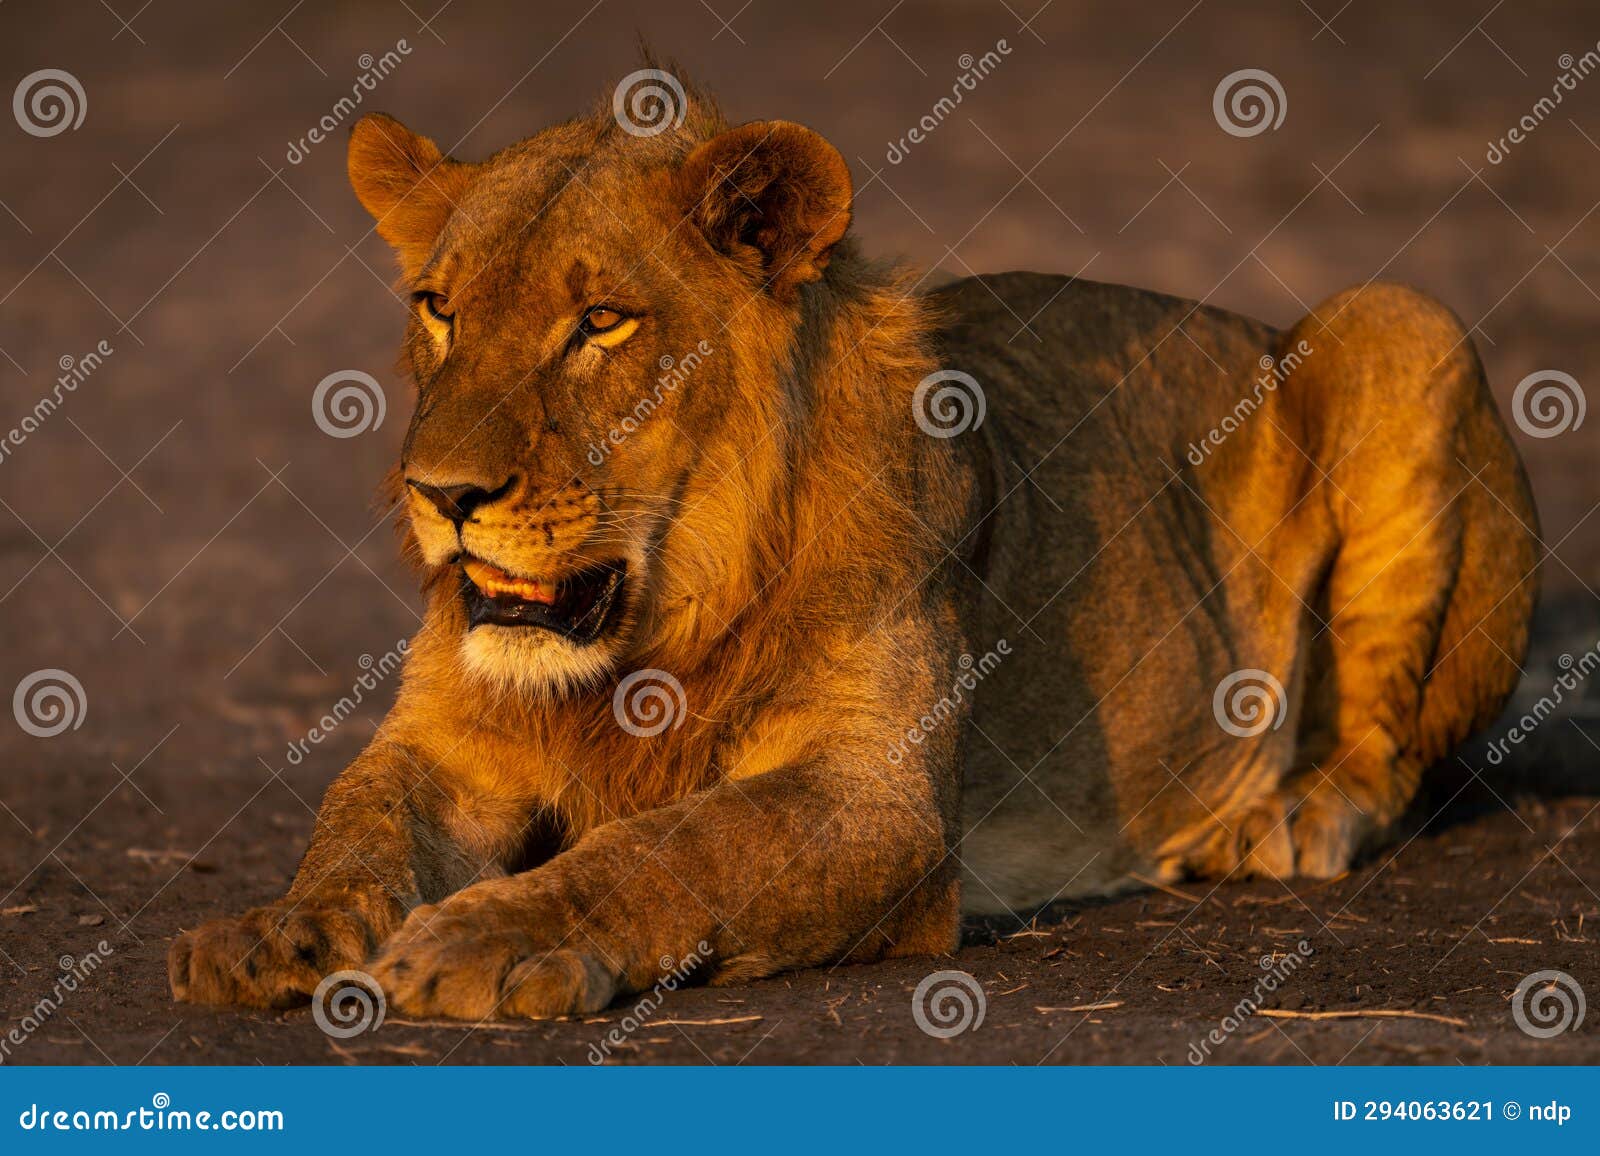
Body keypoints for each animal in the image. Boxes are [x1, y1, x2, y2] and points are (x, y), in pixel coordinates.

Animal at [169, 75, 1537, 1019]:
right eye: (439, 310)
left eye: (600, 321)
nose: (440, 492)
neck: (661, 619)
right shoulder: (446, 744)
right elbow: (358, 819)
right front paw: (277, 929)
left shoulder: (877, 803)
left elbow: (675, 842)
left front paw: (484, 941)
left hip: (1394, 323)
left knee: (1384, 760)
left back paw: (1285, 816)